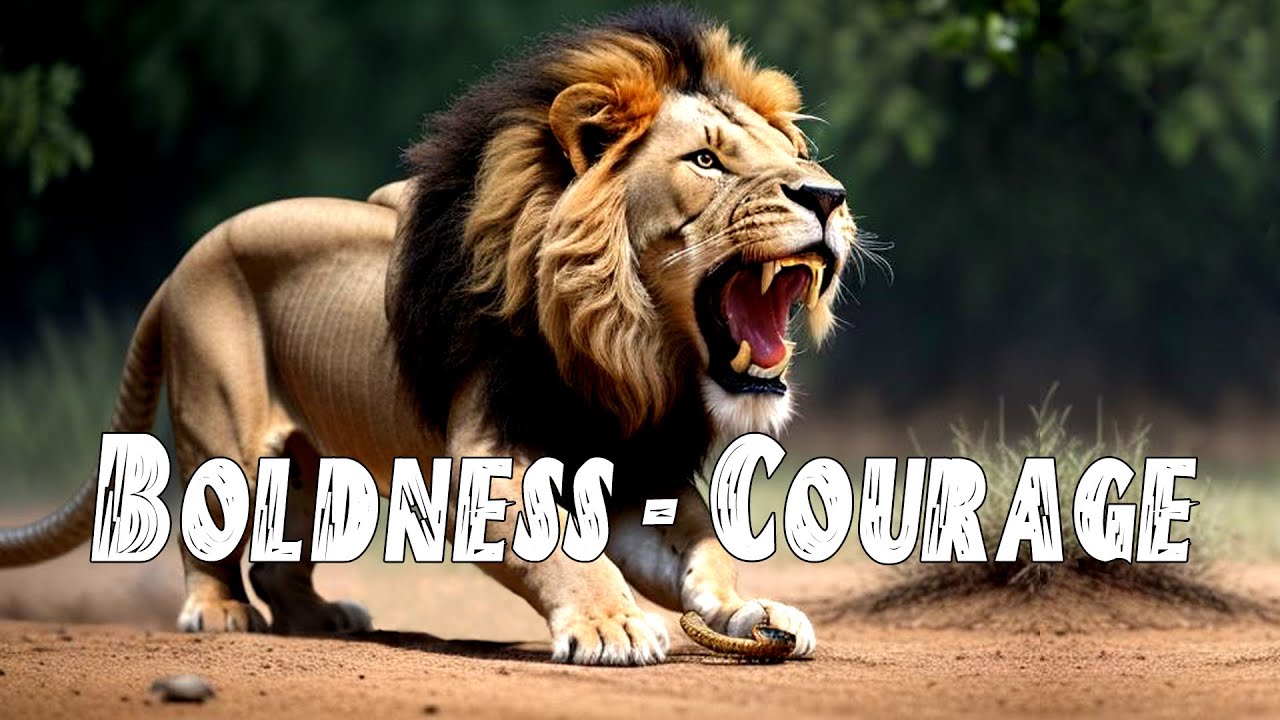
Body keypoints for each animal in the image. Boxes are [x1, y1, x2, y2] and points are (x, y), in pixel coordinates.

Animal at [0, 7, 862, 665]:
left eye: (793, 155)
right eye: (707, 160)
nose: (827, 196)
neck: (627, 352)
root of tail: (186, 258)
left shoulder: (628, 473)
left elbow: (704, 551)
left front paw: (759, 612)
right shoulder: (485, 460)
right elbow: (563, 551)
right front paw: (611, 625)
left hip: (309, 461)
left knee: (282, 561)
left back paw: (323, 620)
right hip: (222, 424)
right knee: (206, 529)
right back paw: (216, 611)